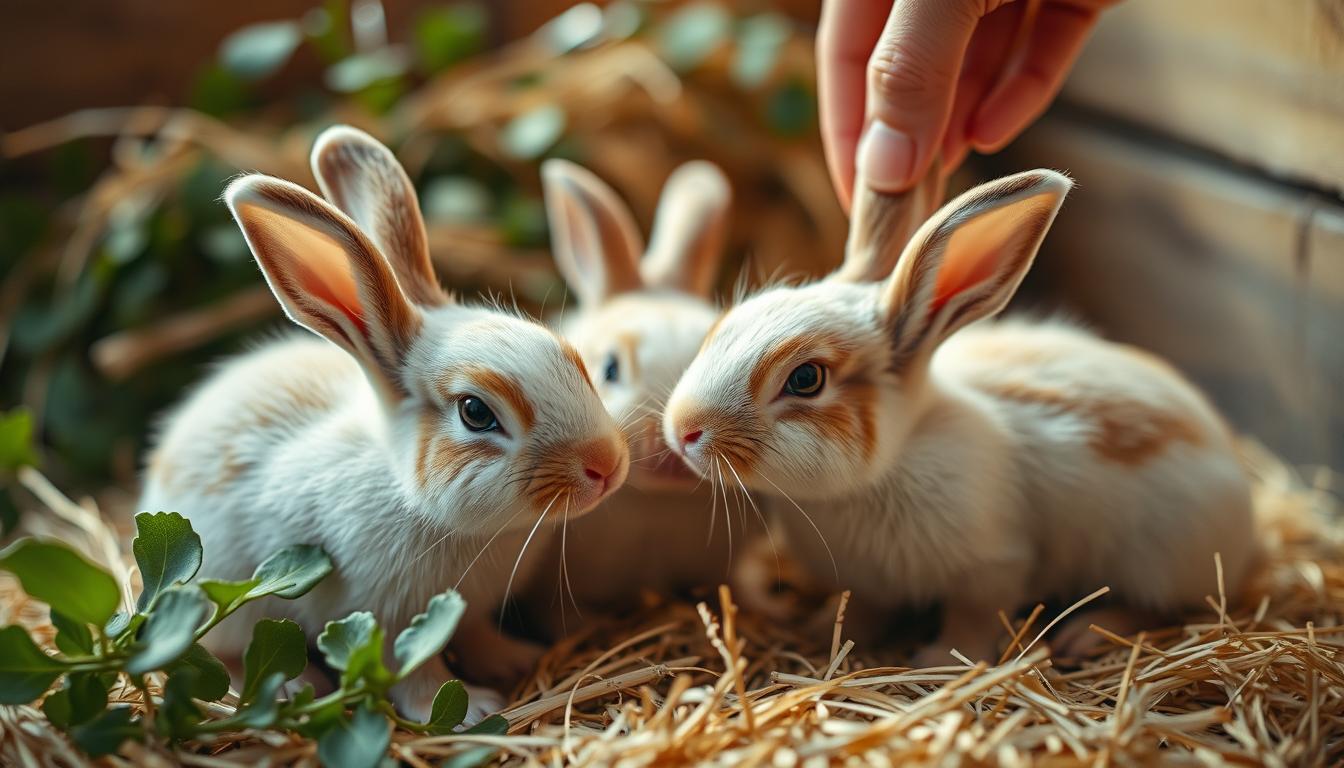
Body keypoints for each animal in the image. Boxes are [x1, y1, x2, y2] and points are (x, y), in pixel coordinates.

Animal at [139, 126, 630, 720]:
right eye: (476, 412)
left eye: (570, 356)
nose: (607, 466)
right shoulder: (385, 615)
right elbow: (413, 670)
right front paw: (473, 709)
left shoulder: (467, 611)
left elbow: (476, 635)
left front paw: (512, 660)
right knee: (226, 652)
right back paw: (291, 687)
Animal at [660, 164, 1255, 665]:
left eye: (806, 379)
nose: (682, 431)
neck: (881, 473)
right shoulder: (870, 584)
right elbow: (864, 612)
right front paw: (820, 630)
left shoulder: (994, 567)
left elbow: (973, 618)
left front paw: (939, 661)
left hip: (1161, 558)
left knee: (1164, 606)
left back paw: (1085, 635)